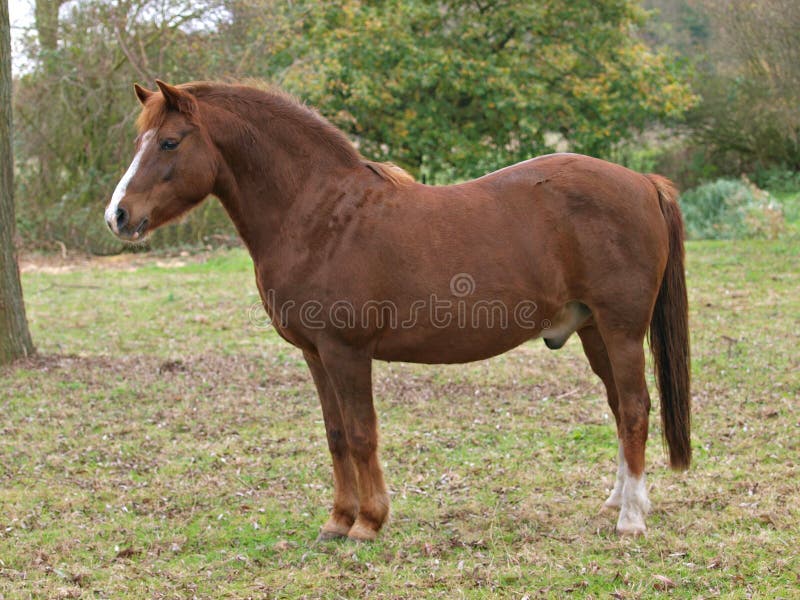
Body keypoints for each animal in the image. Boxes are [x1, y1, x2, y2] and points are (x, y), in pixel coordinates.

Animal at [105, 80, 690, 540]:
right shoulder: (316, 355)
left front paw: (369, 522)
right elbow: (336, 434)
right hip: (594, 331)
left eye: (169, 141)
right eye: (138, 141)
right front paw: (337, 521)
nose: (118, 215)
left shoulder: (346, 352)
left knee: (635, 409)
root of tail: (644, 183)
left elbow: (362, 433)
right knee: (619, 407)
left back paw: (631, 519)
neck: (321, 216)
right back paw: (617, 502)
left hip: (620, 329)